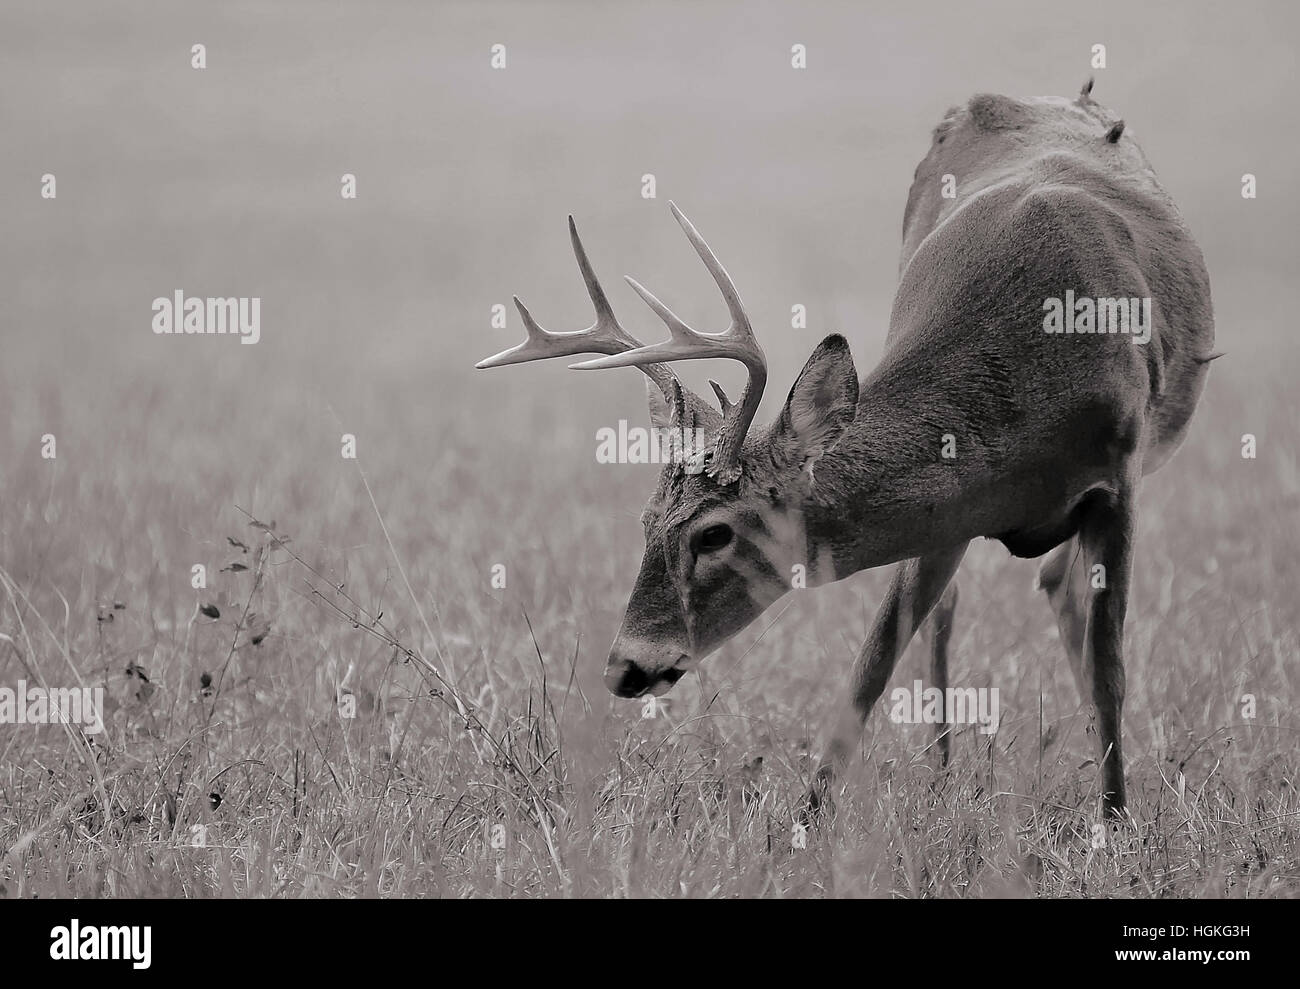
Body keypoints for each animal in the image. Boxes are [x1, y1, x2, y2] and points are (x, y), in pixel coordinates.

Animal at [477, 80, 1215, 820]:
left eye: (714, 534)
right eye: (646, 521)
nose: (626, 666)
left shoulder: (1116, 482)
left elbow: (1110, 665)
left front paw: (1116, 818)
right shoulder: (956, 512)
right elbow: (873, 659)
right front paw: (806, 818)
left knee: (1061, 600)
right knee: (976, 606)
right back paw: (942, 770)